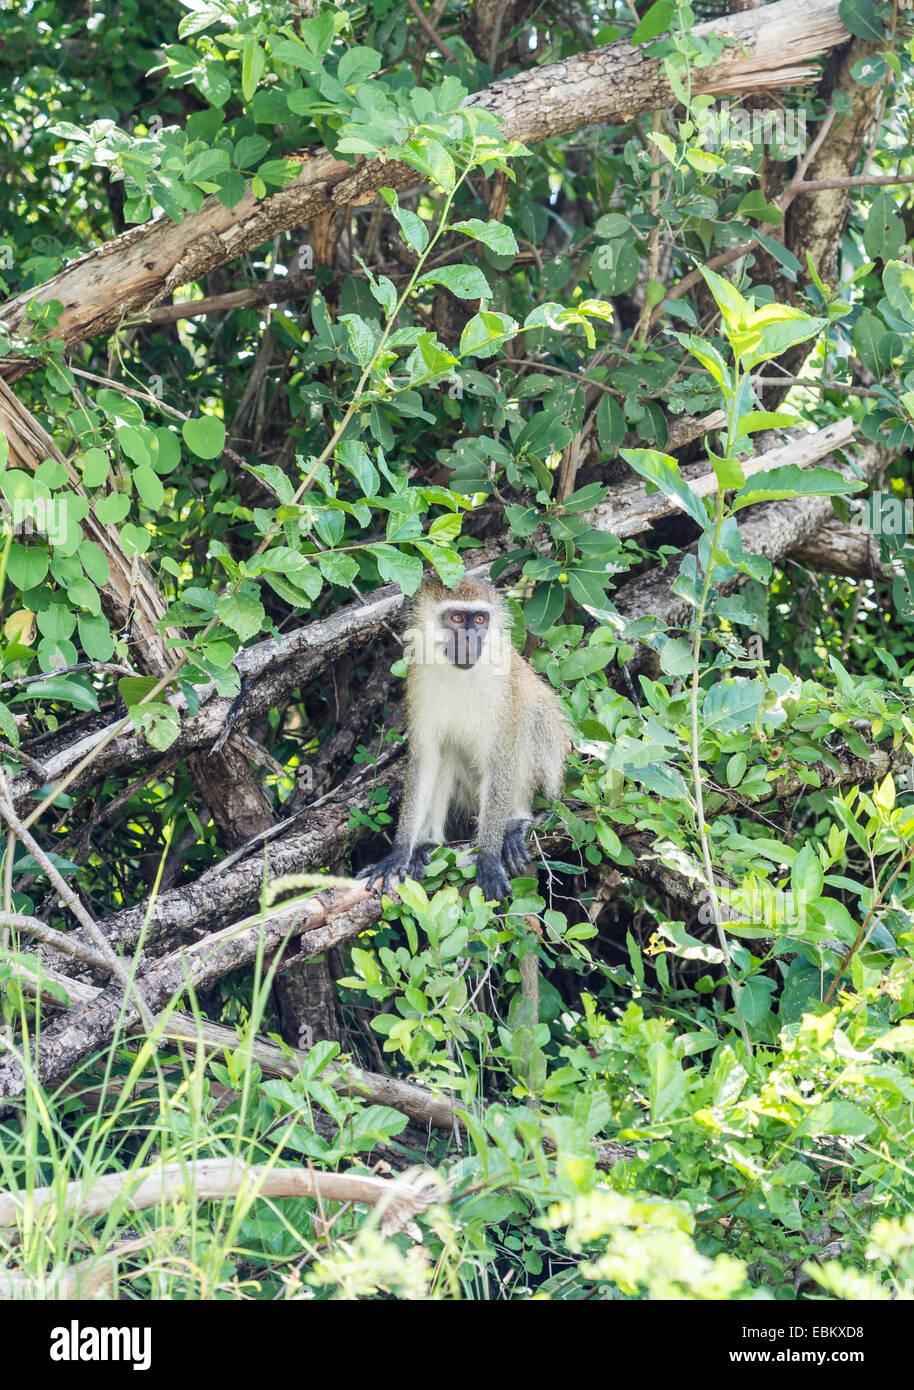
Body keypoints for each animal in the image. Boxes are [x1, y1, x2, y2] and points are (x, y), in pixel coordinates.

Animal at [358, 575, 568, 903]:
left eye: (480, 619)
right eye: (457, 618)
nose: (472, 639)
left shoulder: (501, 687)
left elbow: (501, 759)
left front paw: (489, 858)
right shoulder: (418, 677)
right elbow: (425, 759)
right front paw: (399, 853)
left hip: (549, 778)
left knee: (531, 718)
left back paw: (516, 823)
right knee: (448, 749)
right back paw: (428, 845)